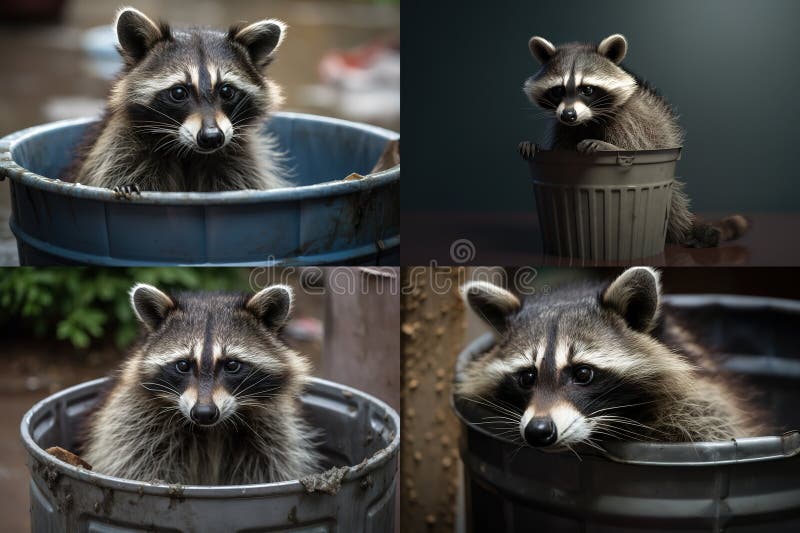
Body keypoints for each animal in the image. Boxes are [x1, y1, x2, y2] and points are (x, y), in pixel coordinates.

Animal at [69, 7, 290, 192]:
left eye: (226, 91)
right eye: (178, 93)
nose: (212, 137)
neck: (188, 153)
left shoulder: (242, 162)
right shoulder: (119, 150)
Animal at [82, 283, 321, 484]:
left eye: (232, 365)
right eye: (183, 365)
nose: (204, 413)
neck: (212, 430)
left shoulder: (274, 430)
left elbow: (272, 466)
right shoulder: (133, 422)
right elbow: (135, 462)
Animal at [519, 34, 748, 248]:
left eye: (588, 89)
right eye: (558, 90)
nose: (568, 114)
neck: (587, 120)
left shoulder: (634, 118)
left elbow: (639, 145)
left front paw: (608, 146)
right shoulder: (563, 126)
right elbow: (561, 145)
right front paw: (535, 145)